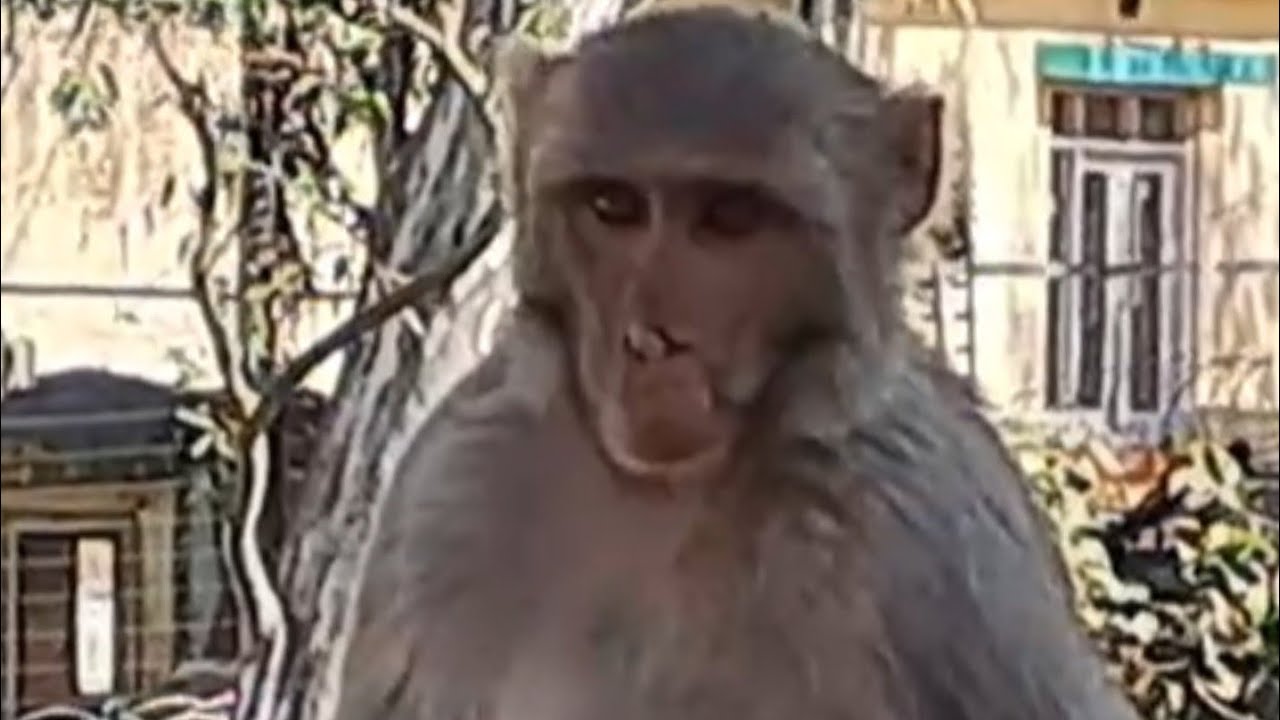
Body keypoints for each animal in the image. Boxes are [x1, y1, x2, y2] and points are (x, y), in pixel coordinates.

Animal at [335, 7, 1141, 720]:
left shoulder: (933, 532)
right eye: (613, 205)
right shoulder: (447, 484)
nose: (651, 343)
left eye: (731, 218)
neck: (665, 492)